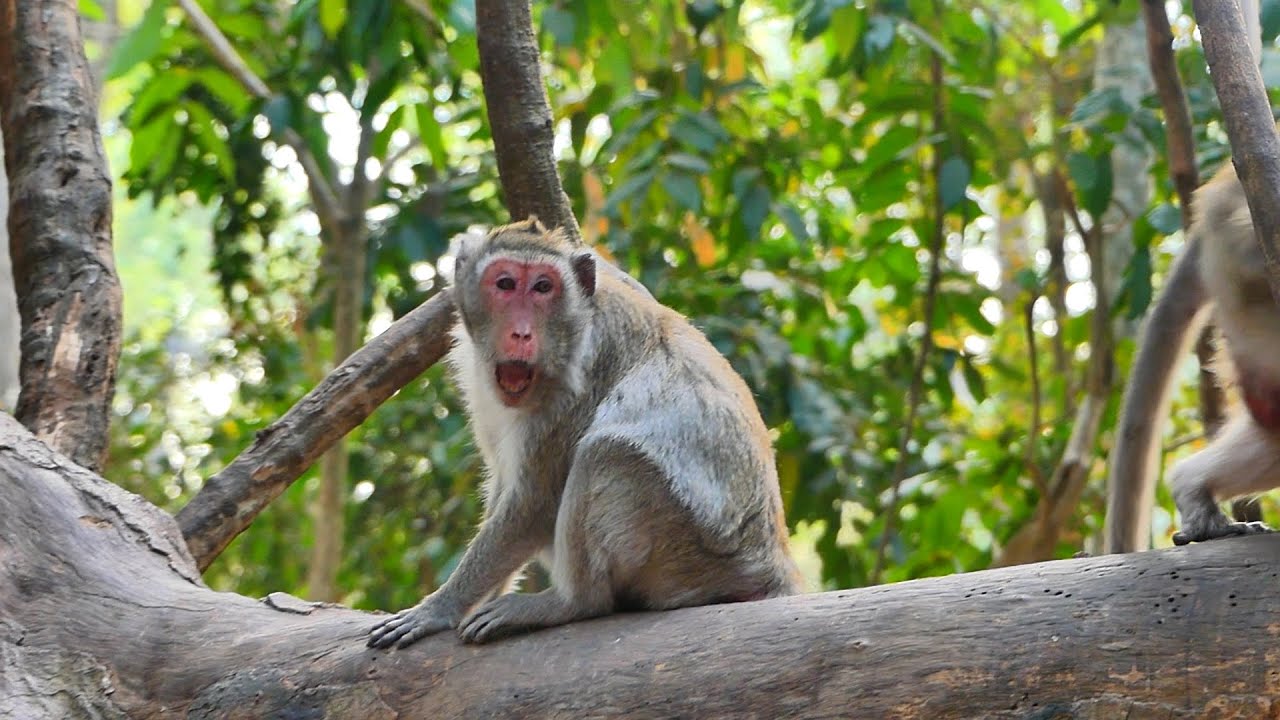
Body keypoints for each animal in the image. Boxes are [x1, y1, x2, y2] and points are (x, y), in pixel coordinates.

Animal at [367, 218, 801, 648]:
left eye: (543, 287)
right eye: (505, 283)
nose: (521, 333)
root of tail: (772, 570)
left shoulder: (580, 381)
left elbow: (533, 503)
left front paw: (438, 609)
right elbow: (505, 487)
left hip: (688, 557)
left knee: (605, 454)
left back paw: (569, 602)